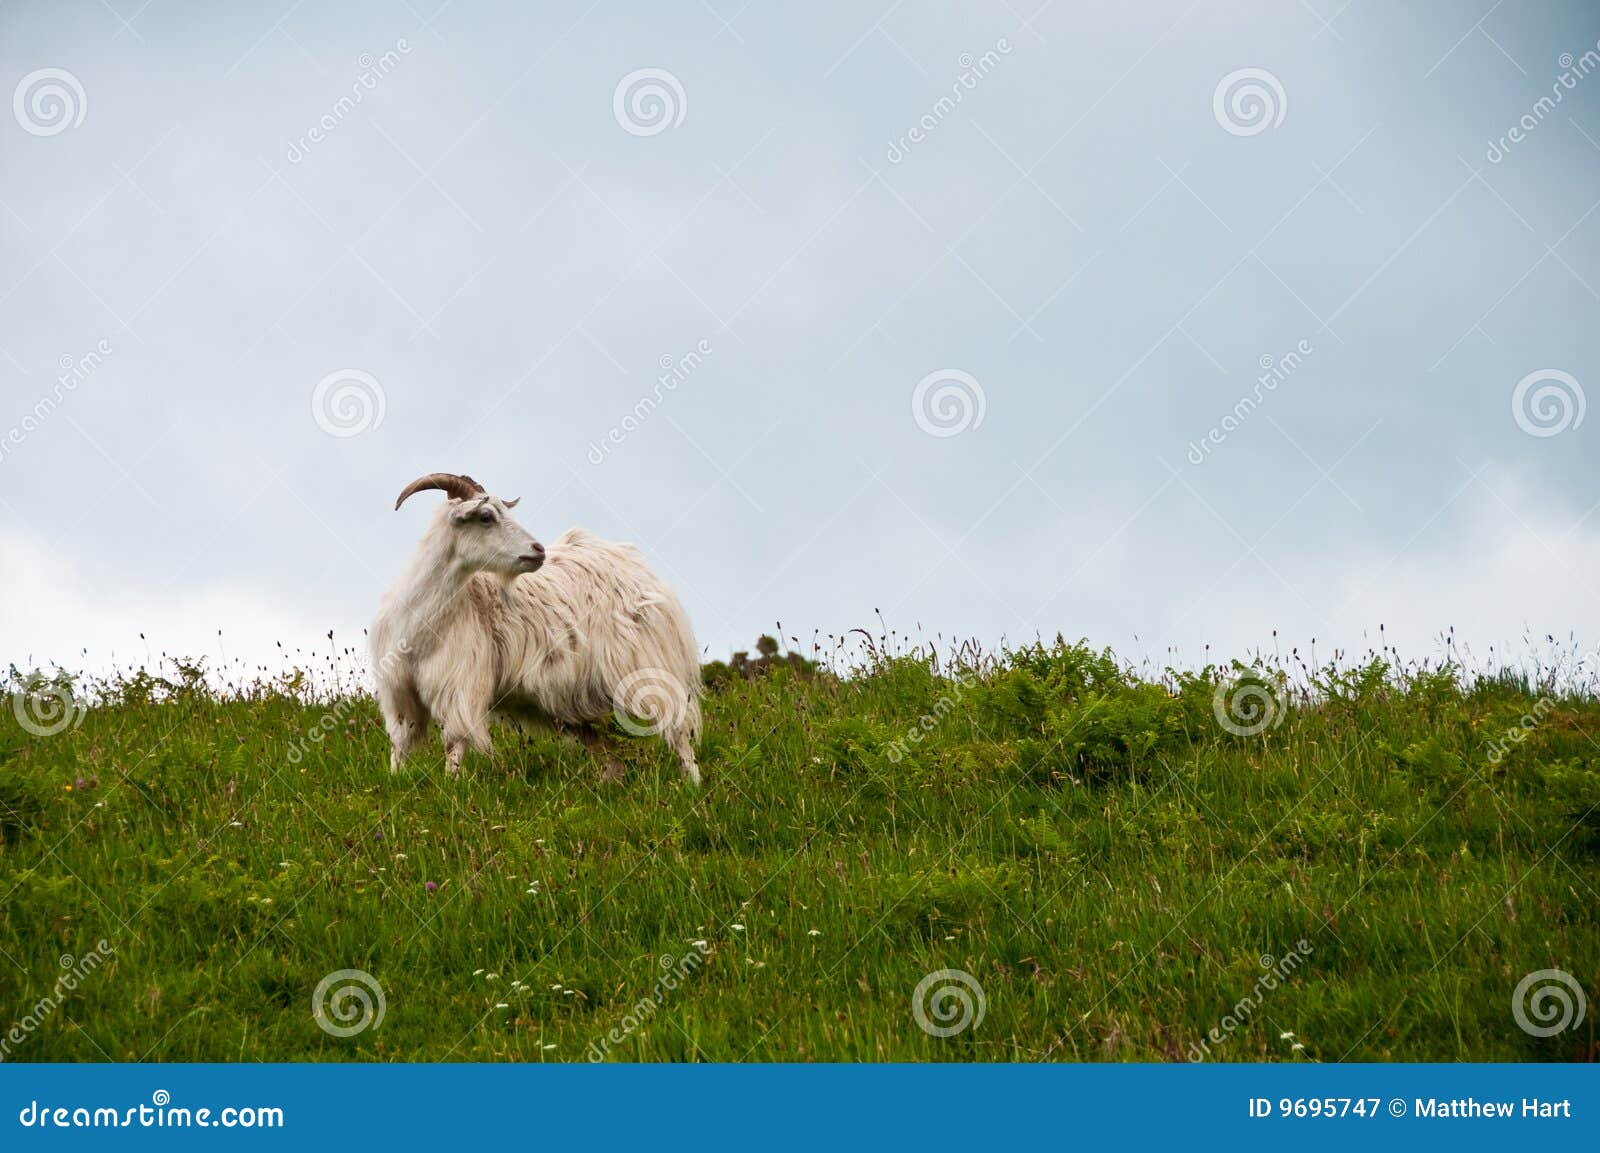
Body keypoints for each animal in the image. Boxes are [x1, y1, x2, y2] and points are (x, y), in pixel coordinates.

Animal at [370, 472, 703, 785]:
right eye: (486, 516)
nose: (538, 550)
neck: (420, 624)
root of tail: (637, 567)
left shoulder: (459, 686)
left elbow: (455, 744)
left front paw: (452, 787)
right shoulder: (399, 694)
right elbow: (399, 744)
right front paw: (396, 781)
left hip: (649, 667)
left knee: (679, 727)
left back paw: (692, 783)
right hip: (583, 699)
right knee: (608, 749)